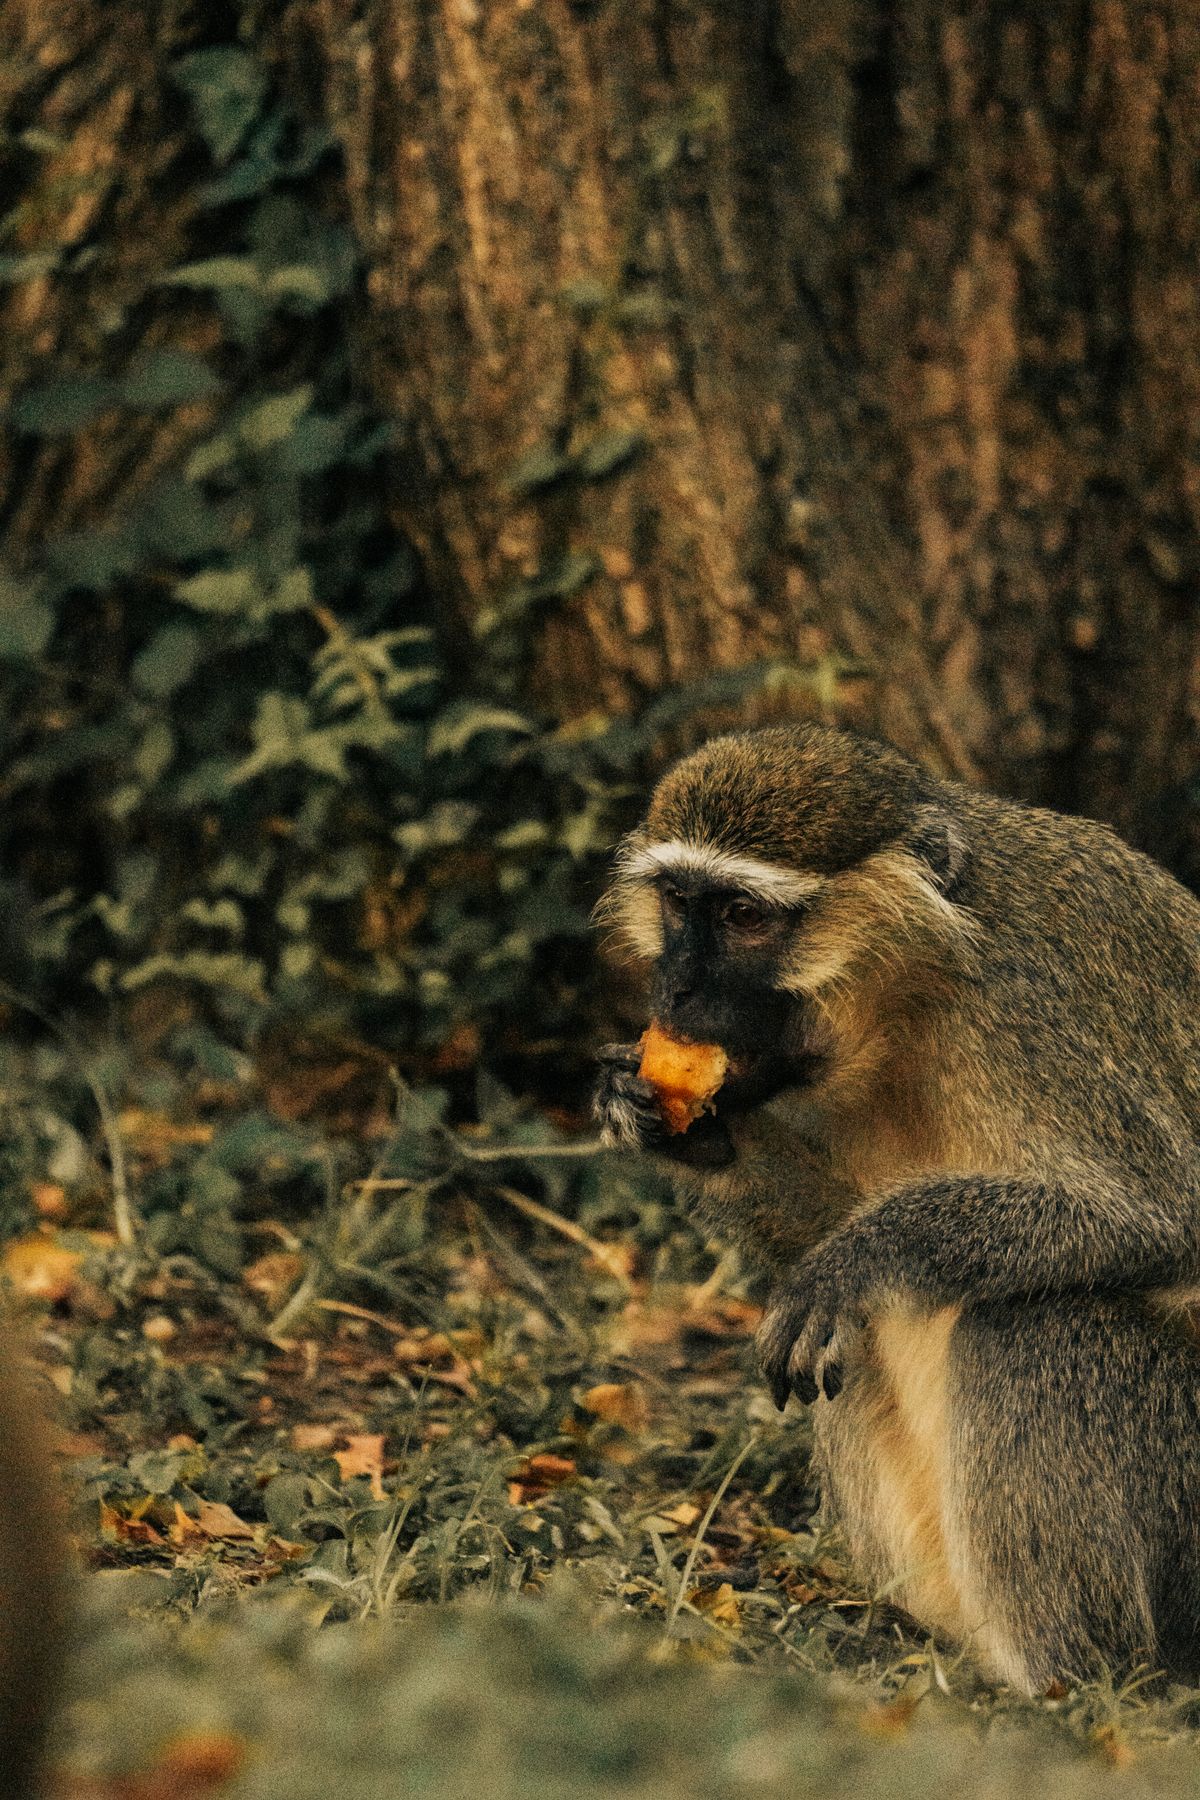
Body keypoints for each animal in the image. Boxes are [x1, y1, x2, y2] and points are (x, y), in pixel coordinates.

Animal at [593, 722, 1200, 1695]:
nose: (673, 992)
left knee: (1027, 1325)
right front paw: (669, 1125)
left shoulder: (1027, 1012)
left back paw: (1056, 1685)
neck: (914, 991)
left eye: (746, 917)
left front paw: (861, 1254)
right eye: (682, 903)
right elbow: (813, 1245)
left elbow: (1158, 1216)